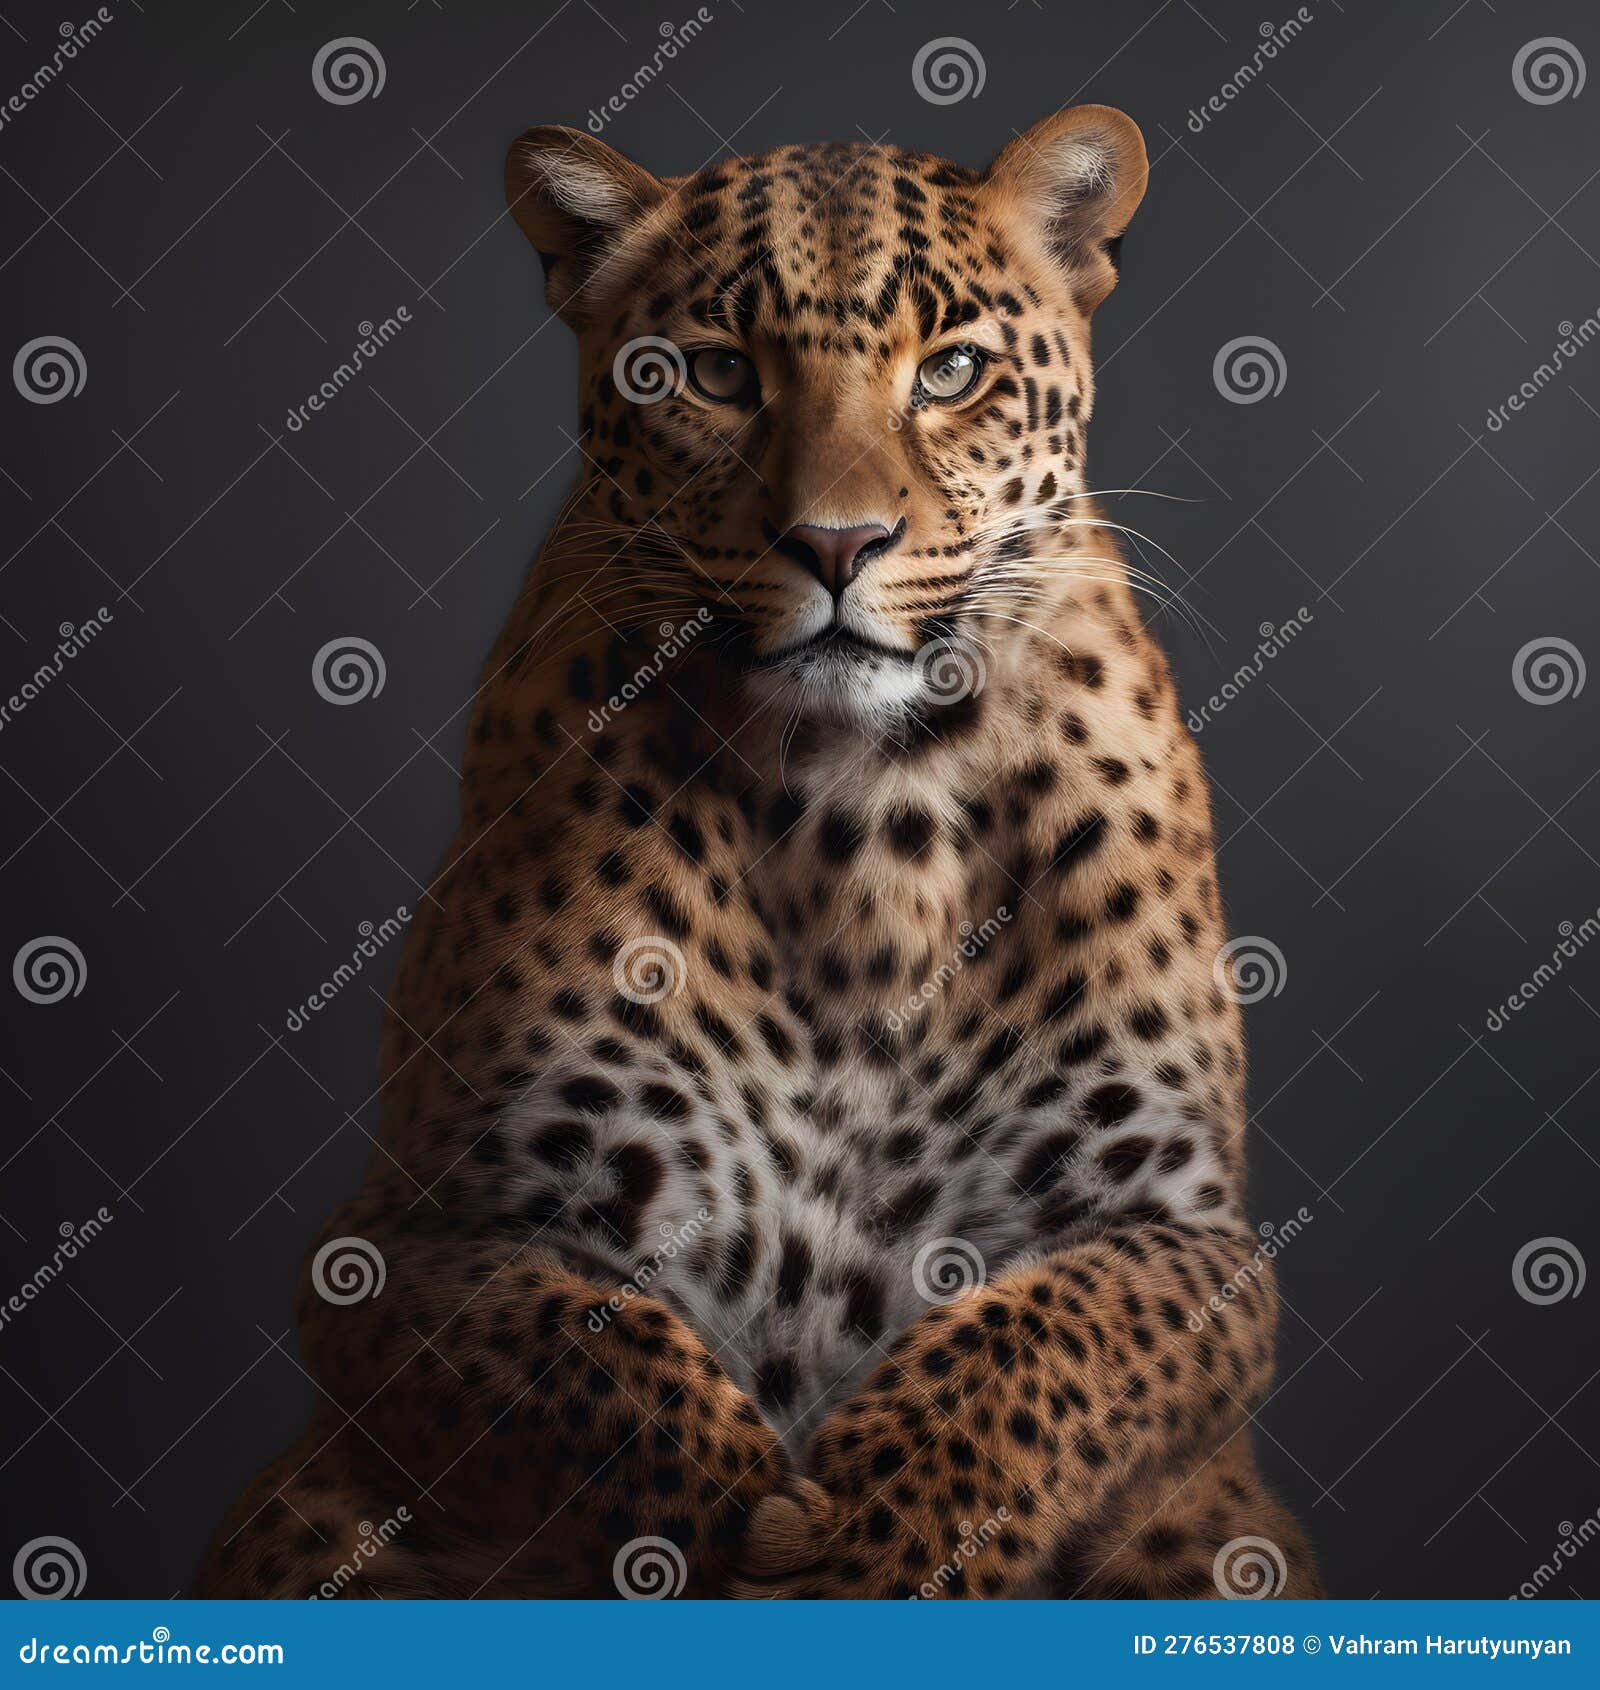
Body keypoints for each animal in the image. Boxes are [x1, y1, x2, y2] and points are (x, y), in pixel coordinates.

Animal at [195, 104, 1323, 1601]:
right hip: (306, 1505)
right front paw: (759, 1531)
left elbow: (1023, 1356)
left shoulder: (1177, 1234)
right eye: (717, 373)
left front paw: (865, 1546)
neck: (867, 818)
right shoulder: (412, 1247)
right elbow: (618, 1374)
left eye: (952, 369)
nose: (836, 543)